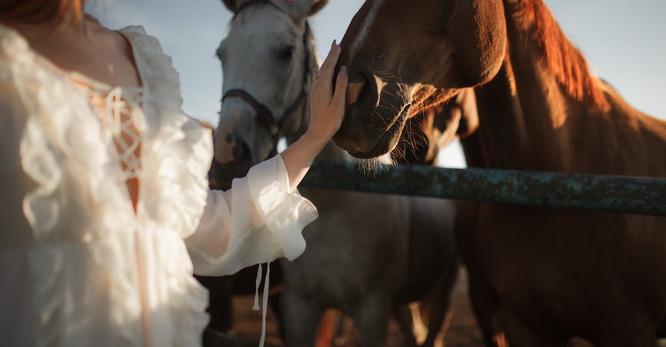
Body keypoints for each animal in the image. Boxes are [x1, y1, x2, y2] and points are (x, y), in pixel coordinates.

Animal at [211, 1, 456, 346]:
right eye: (222, 53)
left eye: (286, 52)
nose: (226, 154)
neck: (335, 207)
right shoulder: (298, 307)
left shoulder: (372, 311)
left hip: (442, 293)